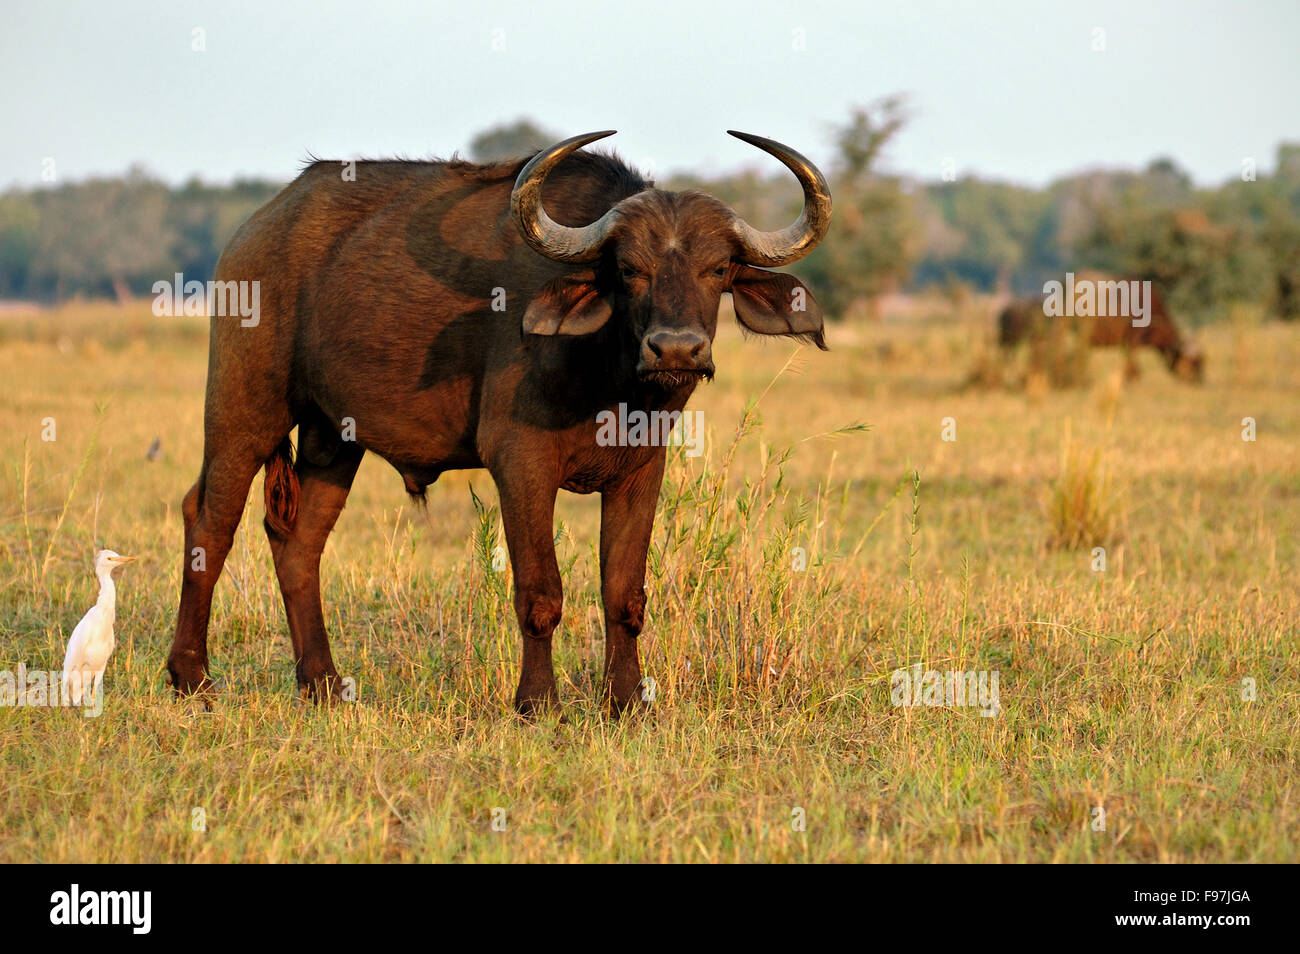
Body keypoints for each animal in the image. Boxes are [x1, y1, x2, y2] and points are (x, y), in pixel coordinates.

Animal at [165, 130, 831, 715]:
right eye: (628, 269)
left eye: (717, 268)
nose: (676, 349)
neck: (609, 381)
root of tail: (255, 229)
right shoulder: (521, 462)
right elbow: (540, 591)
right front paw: (538, 703)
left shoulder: (642, 470)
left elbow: (625, 593)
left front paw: (625, 703)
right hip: (243, 409)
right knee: (209, 521)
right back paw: (192, 677)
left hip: (333, 438)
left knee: (299, 541)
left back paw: (322, 683)